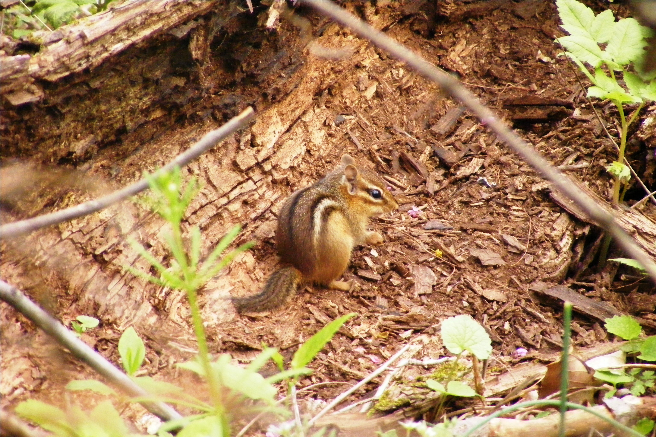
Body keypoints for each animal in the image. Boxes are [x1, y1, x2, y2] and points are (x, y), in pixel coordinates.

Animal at [233, 154, 398, 313]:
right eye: (376, 193)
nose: (396, 205)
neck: (341, 193)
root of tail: (303, 270)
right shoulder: (354, 221)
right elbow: (360, 235)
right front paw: (376, 237)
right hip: (341, 254)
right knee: (327, 282)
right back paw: (347, 284)